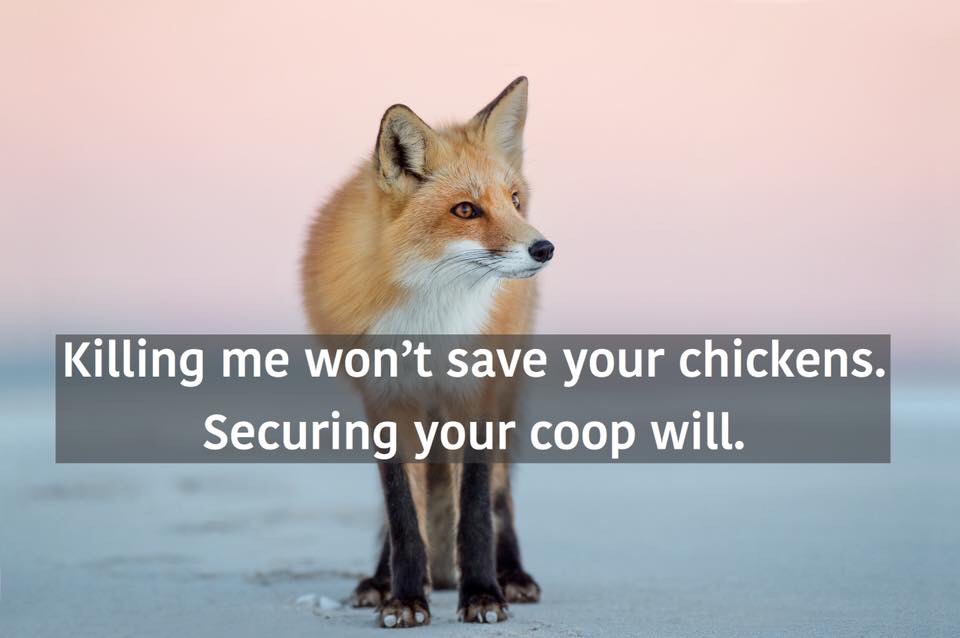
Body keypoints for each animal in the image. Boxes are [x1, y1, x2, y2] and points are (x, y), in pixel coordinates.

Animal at [301, 77, 553, 628]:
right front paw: (404, 598)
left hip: (506, 393)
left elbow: (476, 509)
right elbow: (401, 513)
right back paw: (379, 579)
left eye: (514, 201)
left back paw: (512, 573)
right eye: (465, 210)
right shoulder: (387, 399)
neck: (431, 324)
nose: (544, 248)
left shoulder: (475, 394)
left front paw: (481, 594)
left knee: (501, 495)